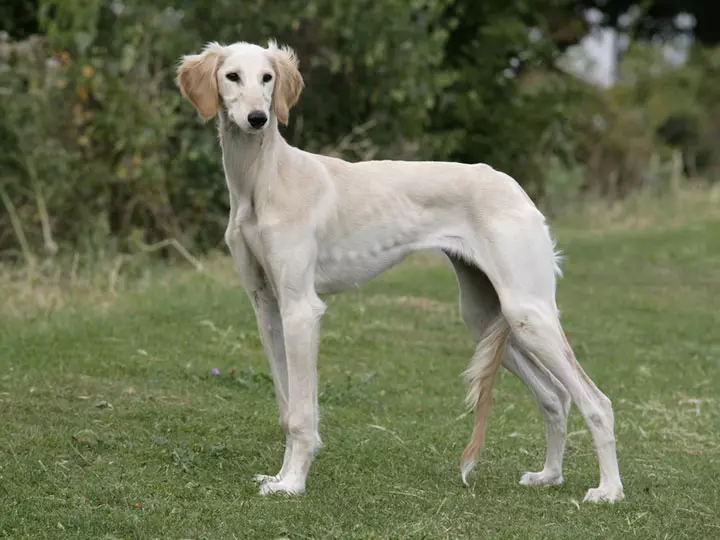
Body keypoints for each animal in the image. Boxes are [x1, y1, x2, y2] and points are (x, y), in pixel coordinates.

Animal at [176, 38, 624, 502]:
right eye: (232, 76)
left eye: (267, 78)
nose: (258, 119)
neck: (263, 180)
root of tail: (514, 186)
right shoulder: (267, 307)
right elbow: (287, 407)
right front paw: (279, 477)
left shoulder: (301, 309)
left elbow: (301, 413)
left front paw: (295, 483)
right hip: (487, 317)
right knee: (556, 397)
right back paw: (550, 475)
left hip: (527, 313)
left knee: (597, 402)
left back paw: (609, 490)